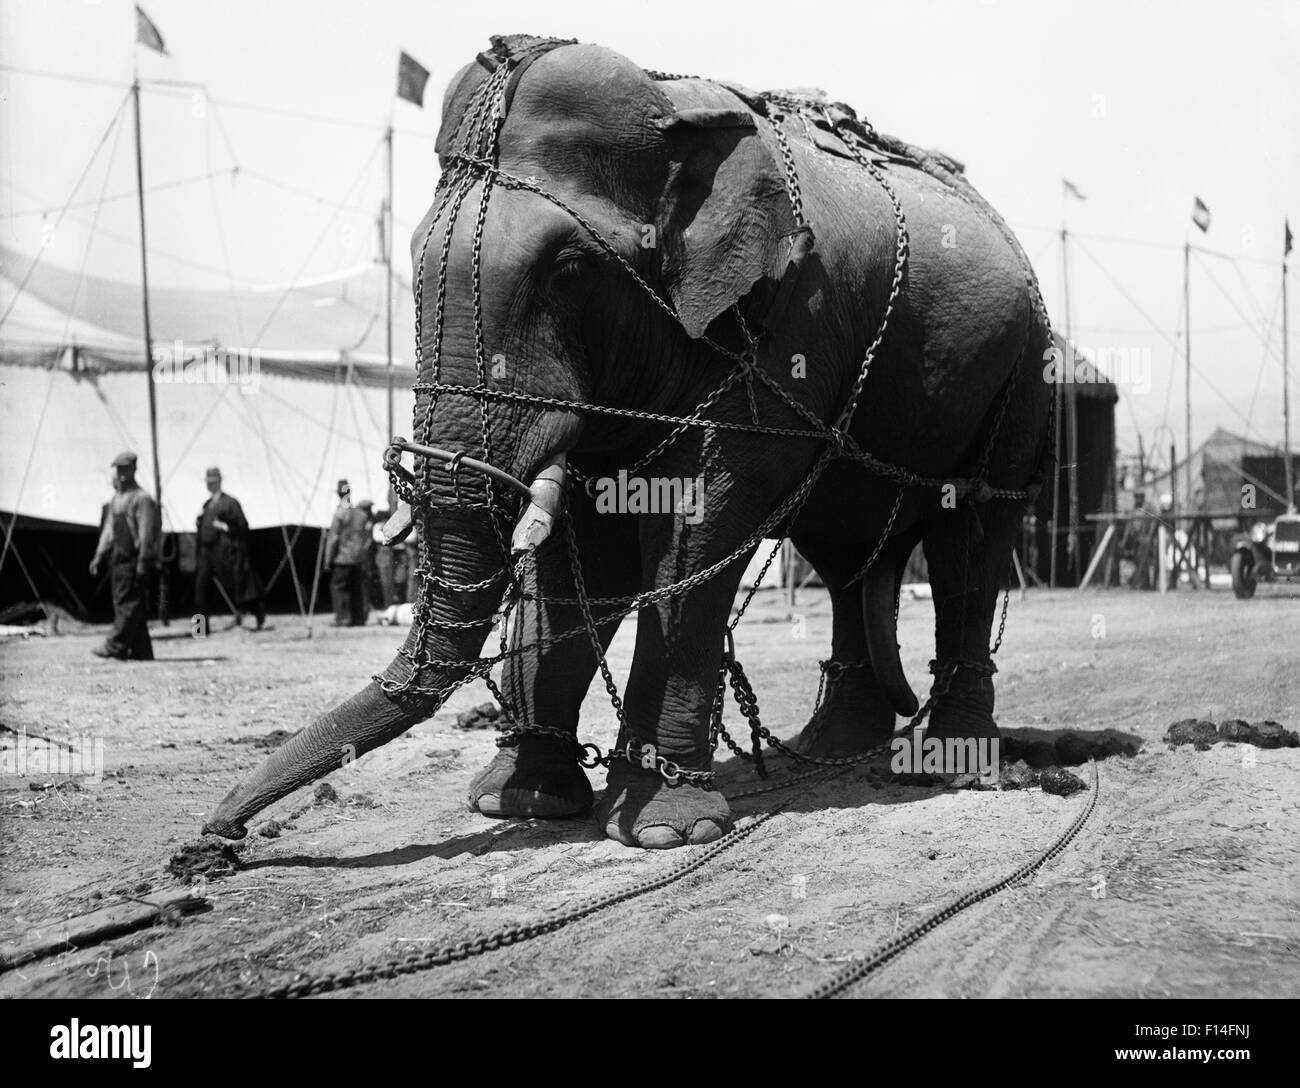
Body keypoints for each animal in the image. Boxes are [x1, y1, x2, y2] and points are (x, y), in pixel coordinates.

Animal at [203, 34, 1052, 850]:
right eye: (412, 264)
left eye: (570, 267)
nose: (217, 835)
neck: (672, 112)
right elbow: (582, 550)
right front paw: (522, 802)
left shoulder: (784, 335)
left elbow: (699, 534)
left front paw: (664, 830)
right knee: (847, 554)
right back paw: (832, 745)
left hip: (1025, 374)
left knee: (973, 539)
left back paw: (948, 766)